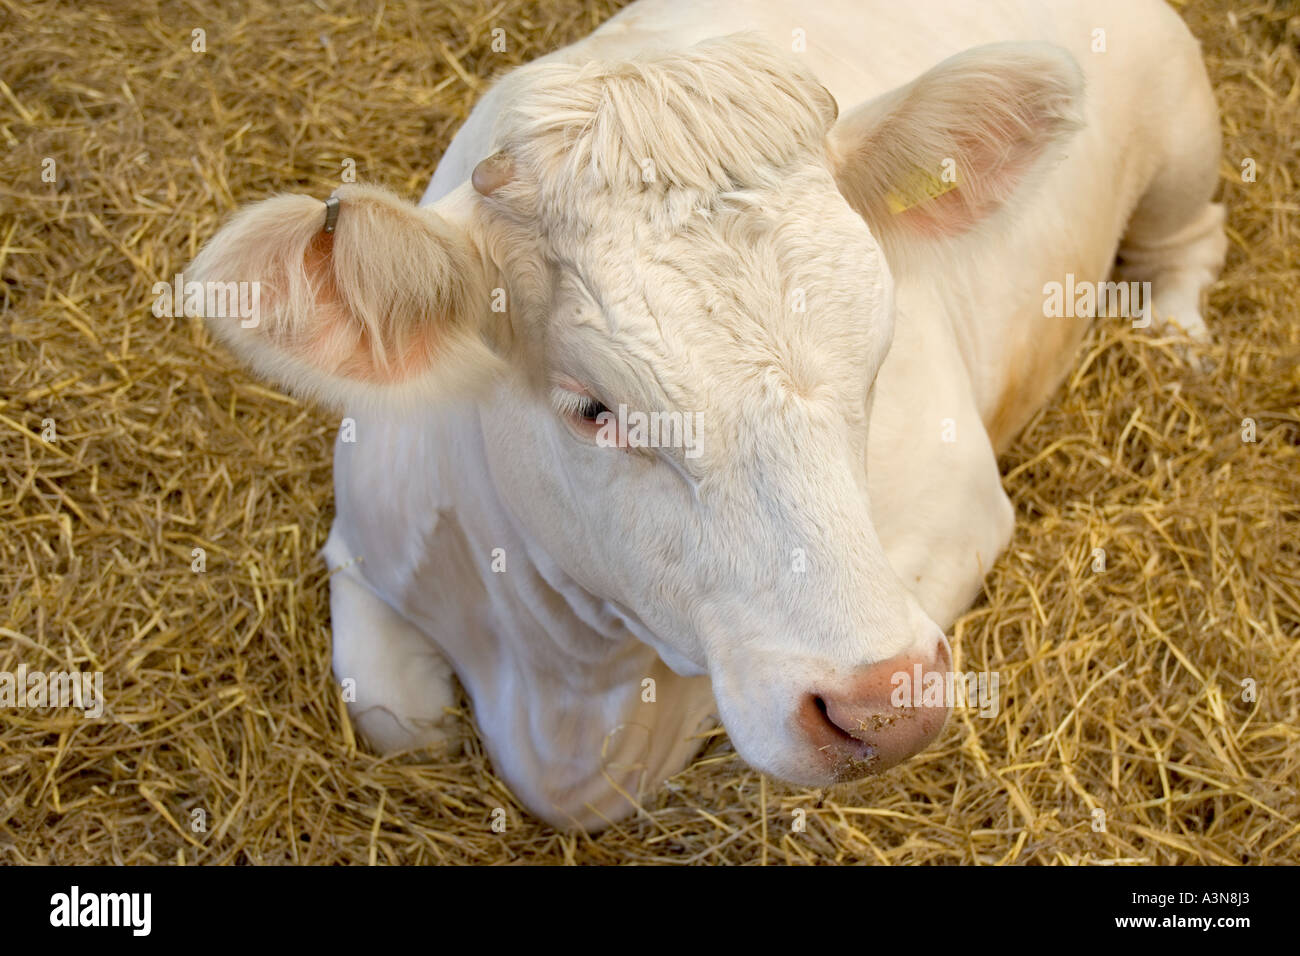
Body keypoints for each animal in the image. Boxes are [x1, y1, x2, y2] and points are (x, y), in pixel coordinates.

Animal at [189, 0, 1226, 830]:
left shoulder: (956, 519)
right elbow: (397, 718)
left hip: (1184, 143)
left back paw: (1174, 341)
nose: (884, 707)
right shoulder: (363, 543)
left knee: (1190, 243)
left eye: (878, 355)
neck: (565, 706)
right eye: (593, 408)